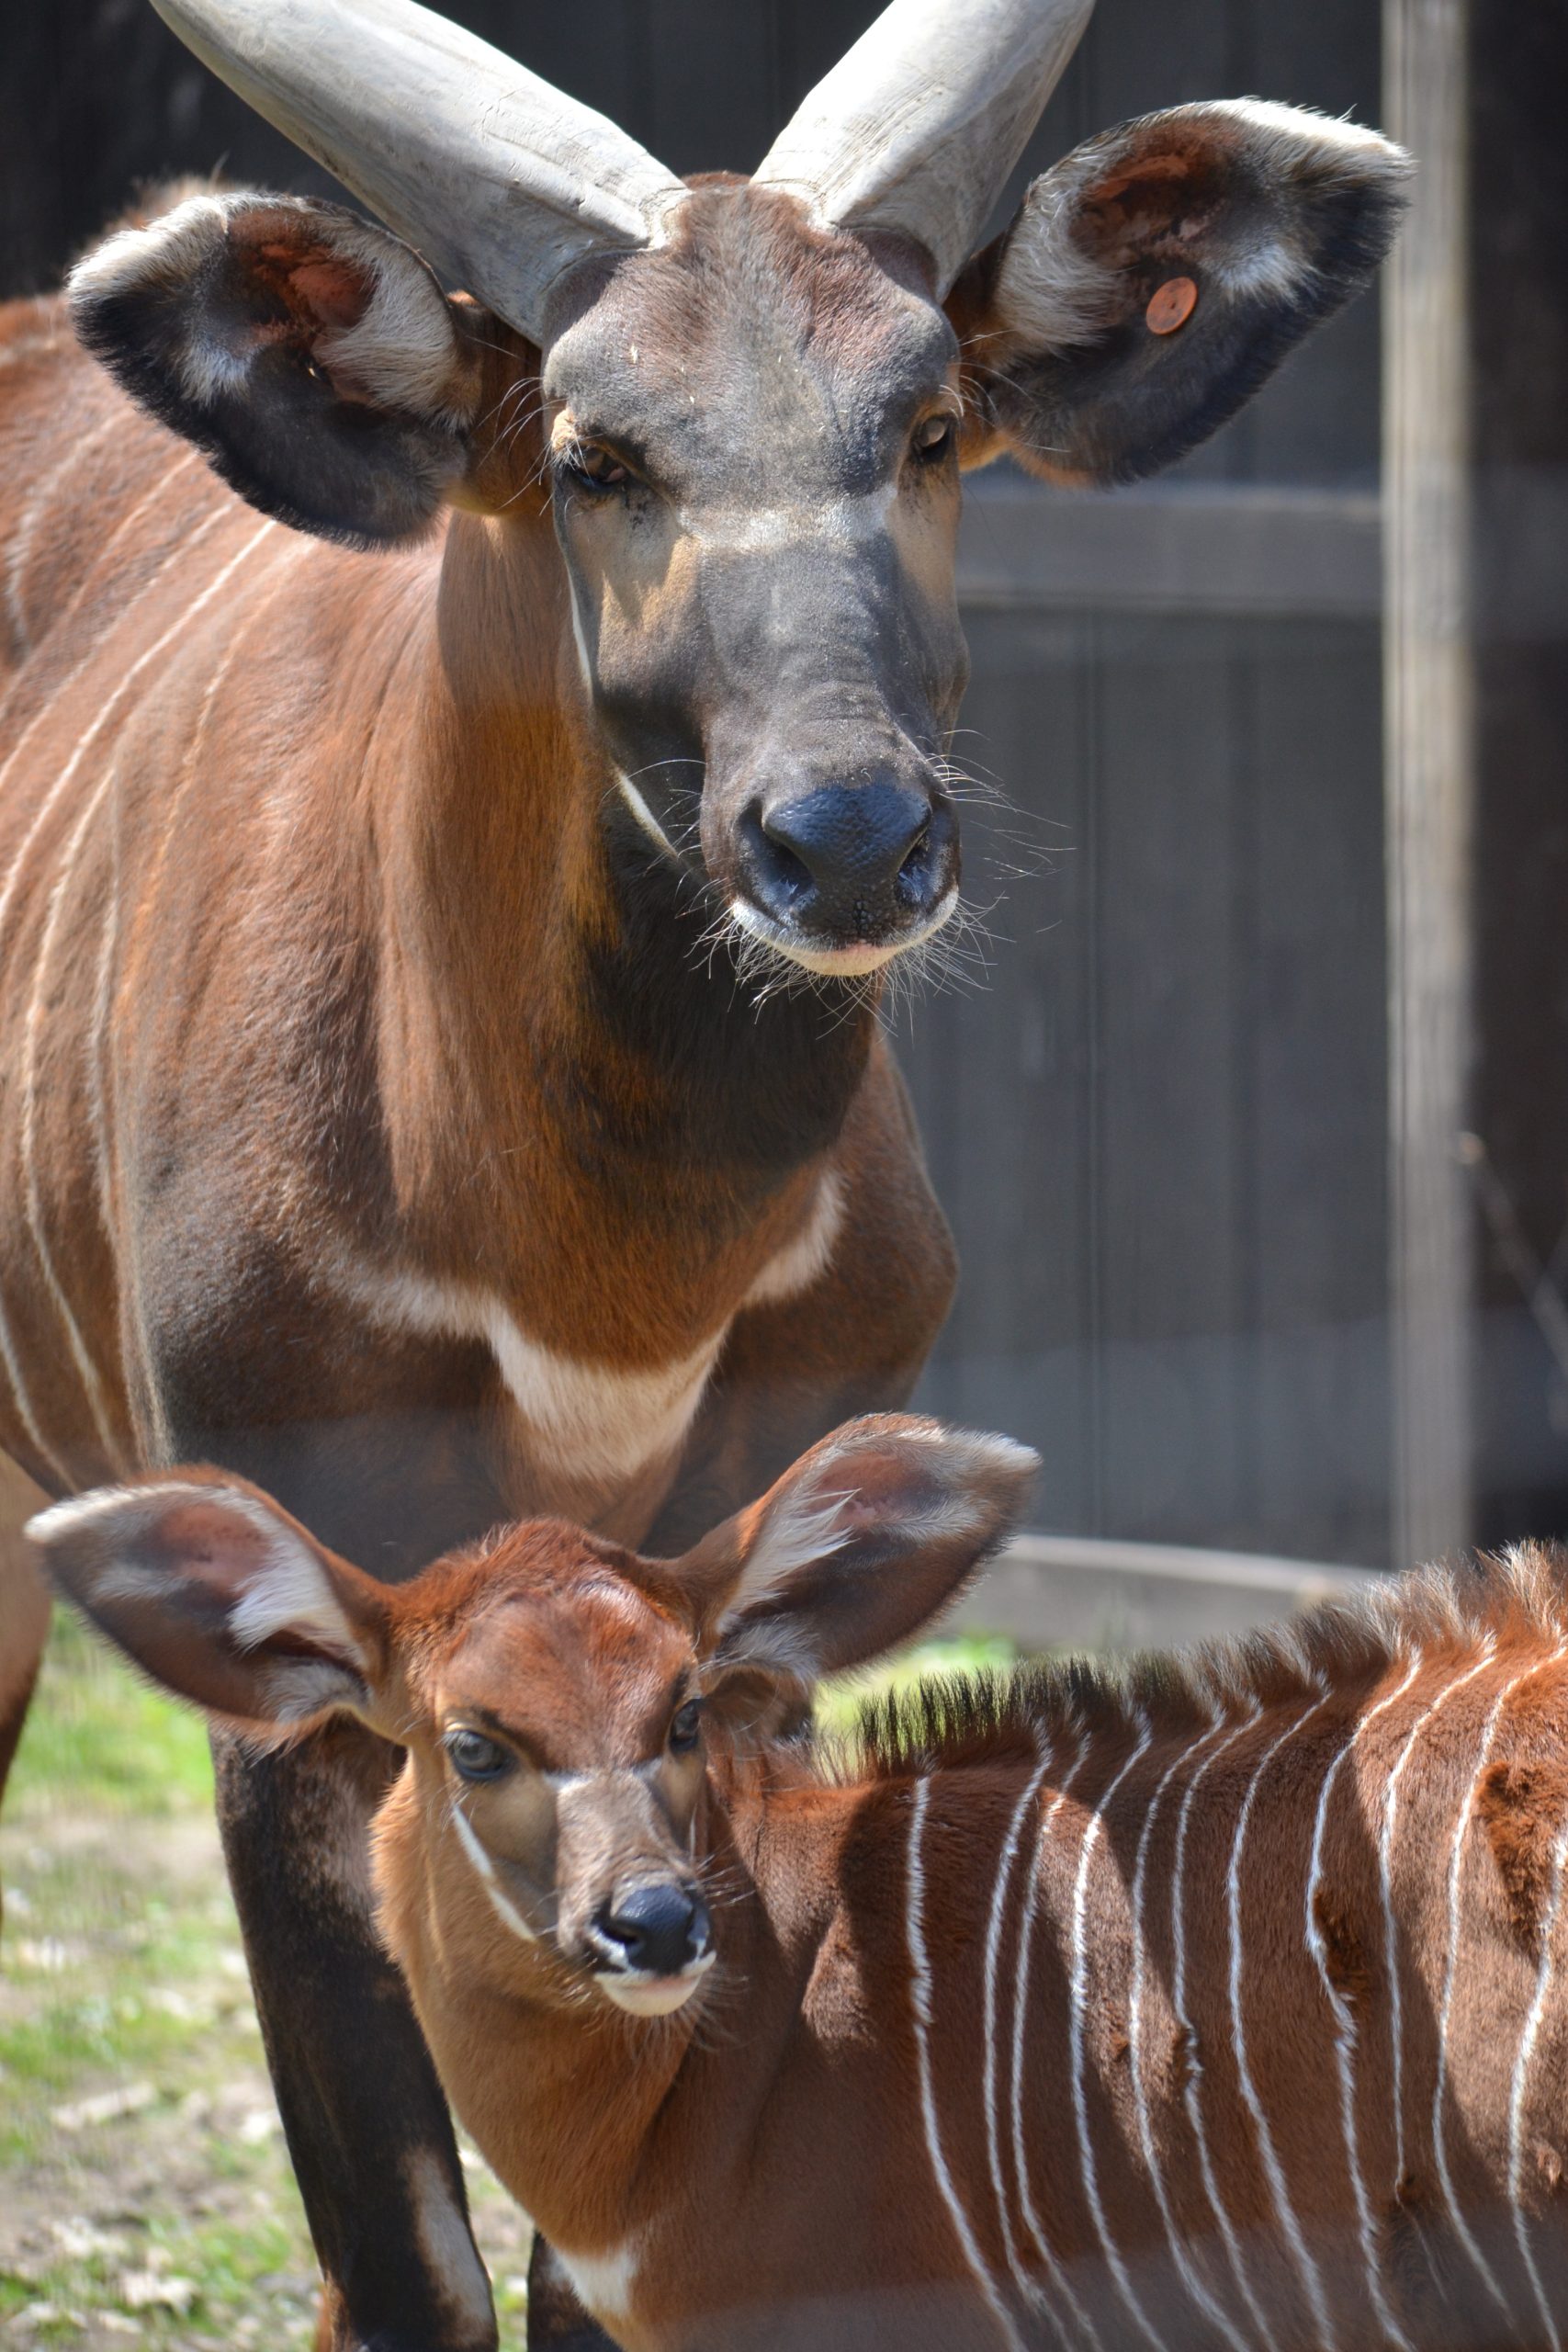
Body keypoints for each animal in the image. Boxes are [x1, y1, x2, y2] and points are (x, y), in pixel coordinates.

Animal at [0, 0, 1407, 2342]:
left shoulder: (728, 1648)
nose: (842, 834)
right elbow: (409, 2252)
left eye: (926, 422)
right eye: (591, 453)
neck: (600, 1278)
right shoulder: (301, 1684)